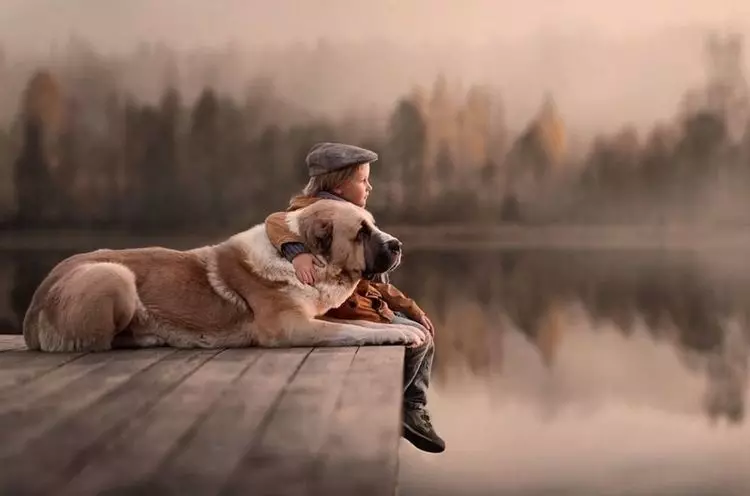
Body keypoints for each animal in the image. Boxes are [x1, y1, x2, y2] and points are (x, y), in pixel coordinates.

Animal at [22, 199, 428, 352]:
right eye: (360, 232)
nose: (398, 245)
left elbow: (361, 325)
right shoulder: (291, 327)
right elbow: (353, 331)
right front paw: (402, 332)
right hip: (114, 275)